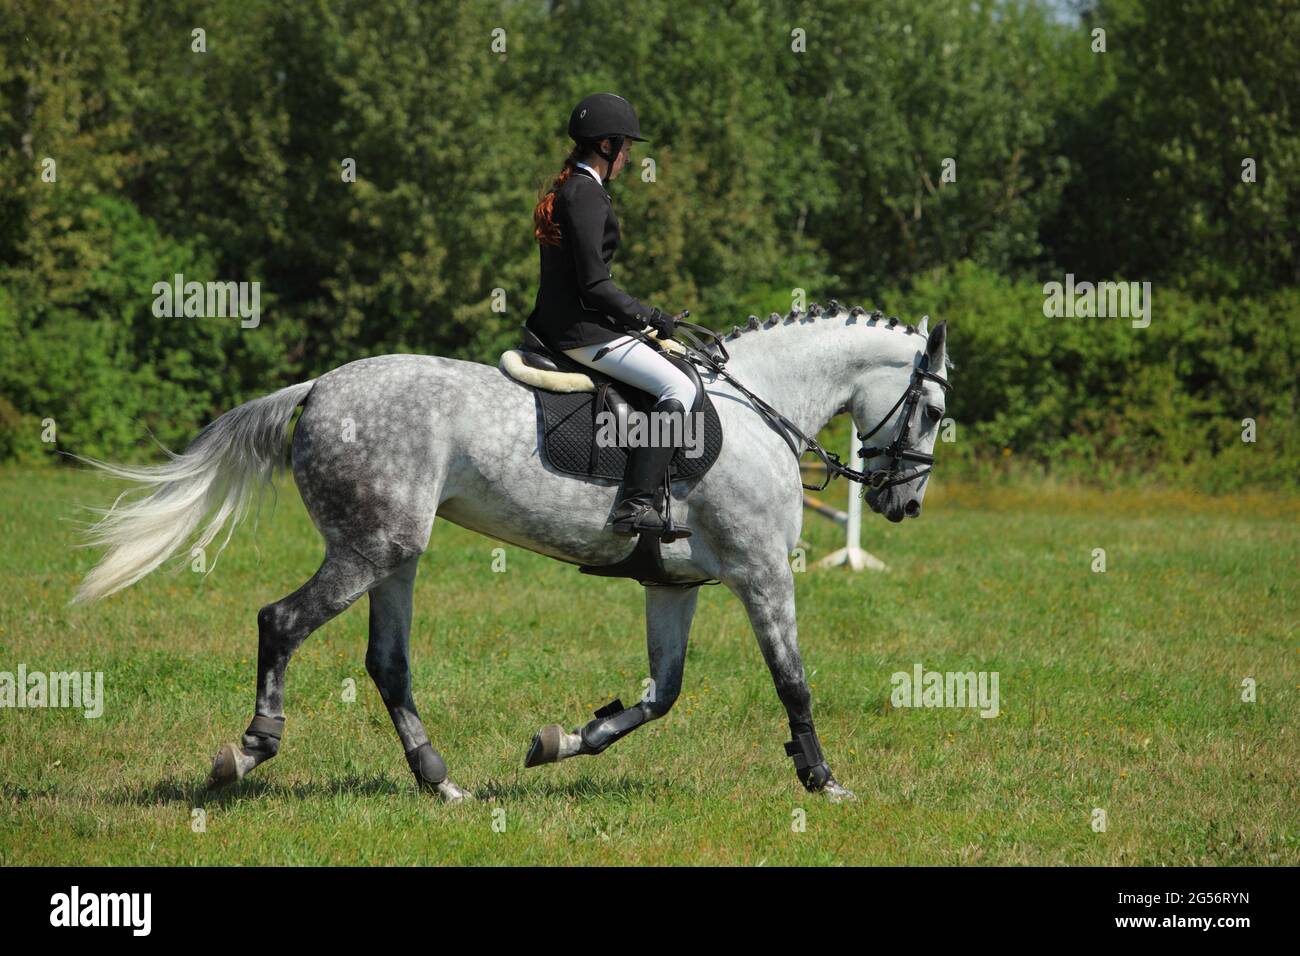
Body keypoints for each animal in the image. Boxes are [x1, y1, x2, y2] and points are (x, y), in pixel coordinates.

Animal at [72, 304, 950, 803]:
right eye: (935, 410)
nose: (903, 504)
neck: (759, 408)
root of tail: (318, 387)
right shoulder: (761, 572)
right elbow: (793, 681)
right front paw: (824, 781)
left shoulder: (675, 585)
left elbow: (661, 694)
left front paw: (562, 742)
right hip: (369, 549)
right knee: (280, 622)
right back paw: (247, 753)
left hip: (396, 556)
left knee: (387, 664)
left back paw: (441, 783)